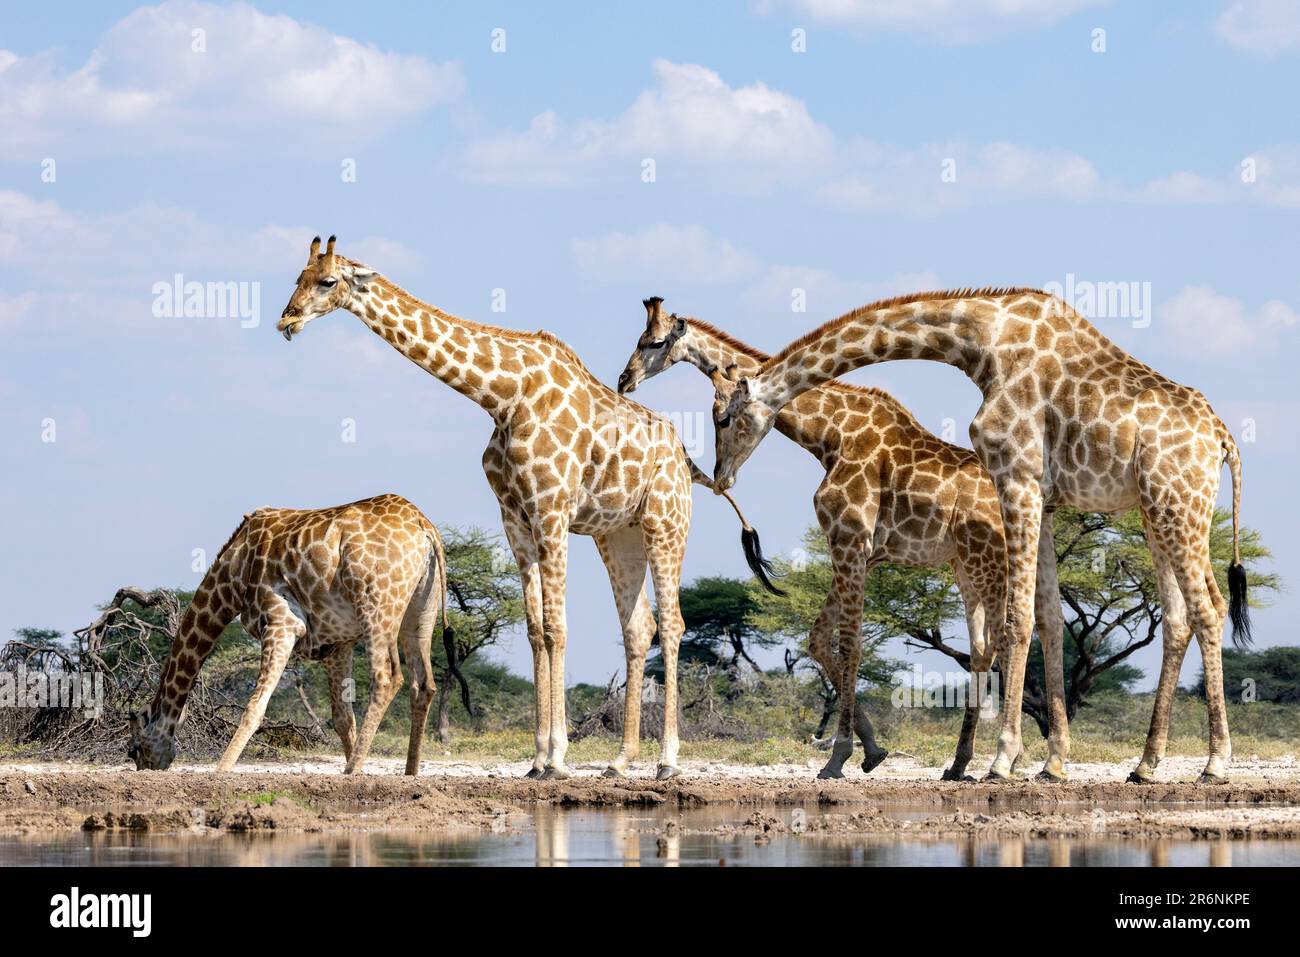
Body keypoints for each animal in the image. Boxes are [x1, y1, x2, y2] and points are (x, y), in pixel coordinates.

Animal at [127, 494, 451, 776]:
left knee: (387, 677)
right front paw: (357, 764)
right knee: (424, 683)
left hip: (377, 605)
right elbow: (342, 718)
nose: (148, 769)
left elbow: (255, 707)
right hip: (421, 611)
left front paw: (220, 772)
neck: (232, 576)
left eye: (135, 749)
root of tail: (425, 527)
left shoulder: (281, 621)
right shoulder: (339, 643)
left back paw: (352, 771)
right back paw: (408, 772)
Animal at [276, 237, 777, 780]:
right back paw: (621, 760)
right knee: (639, 626)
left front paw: (557, 756)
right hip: (617, 533)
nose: (287, 320)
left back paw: (667, 760)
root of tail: (686, 457)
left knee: (674, 622)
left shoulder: (551, 511)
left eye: (327, 281)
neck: (504, 396)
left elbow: (558, 628)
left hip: (666, 521)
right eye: (298, 276)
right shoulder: (514, 518)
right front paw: (537, 758)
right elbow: (537, 630)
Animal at [618, 298, 1066, 780]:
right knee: (989, 645)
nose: (624, 380)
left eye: (653, 342)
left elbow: (850, 642)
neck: (830, 435)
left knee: (1009, 634)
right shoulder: (858, 551)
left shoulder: (850, 540)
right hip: (965, 566)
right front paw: (872, 749)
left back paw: (1006, 758)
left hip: (990, 561)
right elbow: (818, 638)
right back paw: (962, 761)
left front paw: (839, 756)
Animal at [711, 287, 1251, 784]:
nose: (720, 477)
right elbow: (1047, 618)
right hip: (1160, 511)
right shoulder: (1043, 497)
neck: (982, 344)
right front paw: (1052, 763)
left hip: (1176, 502)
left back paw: (1215, 763)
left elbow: (1016, 620)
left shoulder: (1017, 476)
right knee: (1184, 615)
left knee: (1206, 609)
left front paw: (1002, 759)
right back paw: (1145, 765)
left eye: (722, 417)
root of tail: (1224, 439)